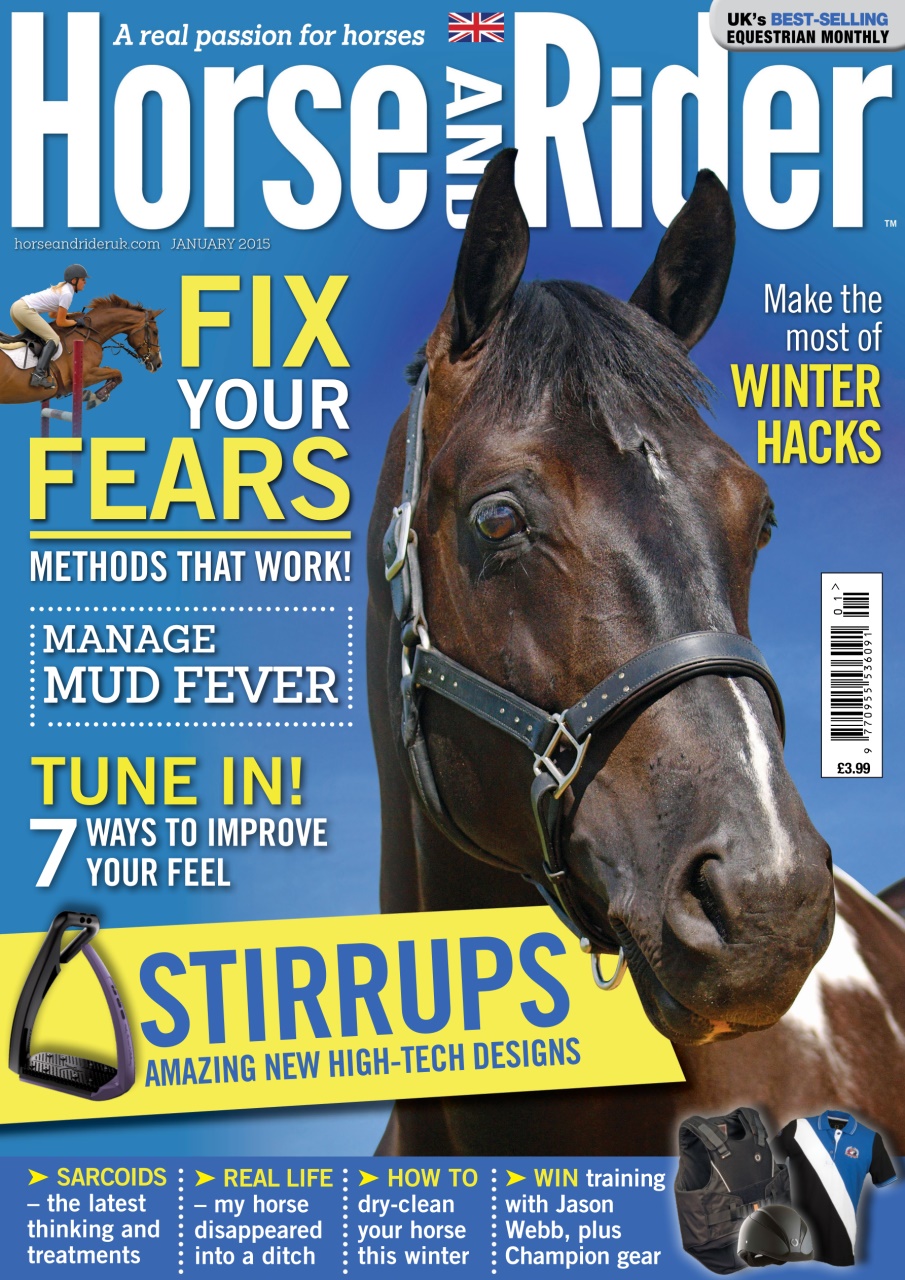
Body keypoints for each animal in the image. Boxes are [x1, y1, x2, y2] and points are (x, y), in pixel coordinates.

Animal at [0, 295, 162, 406]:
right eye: (155, 332)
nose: (158, 363)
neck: (90, 334)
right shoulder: (86, 375)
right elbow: (117, 373)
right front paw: (96, 396)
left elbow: (113, 372)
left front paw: (100, 395)